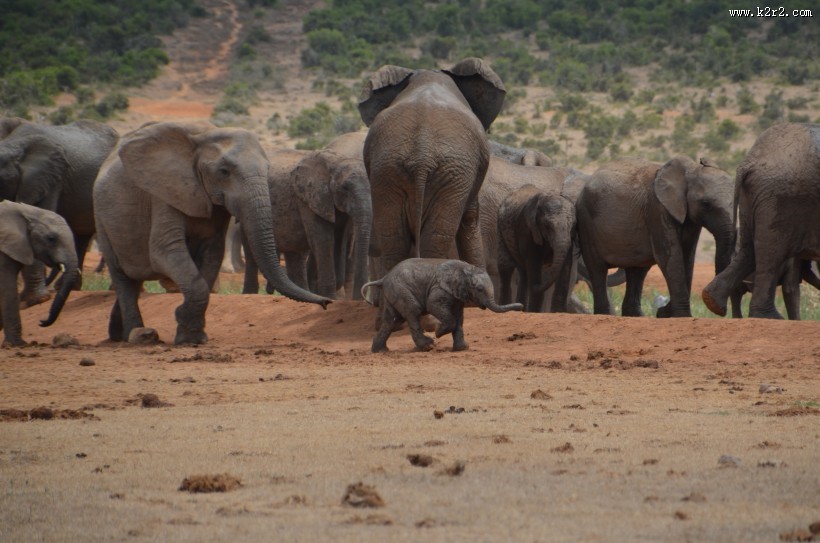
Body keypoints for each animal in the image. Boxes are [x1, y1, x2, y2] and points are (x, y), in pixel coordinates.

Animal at [93, 121, 330, 345]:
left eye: (267, 169)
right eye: (224, 171)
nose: (326, 303)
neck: (203, 136)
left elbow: (212, 252)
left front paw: (192, 336)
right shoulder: (165, 191)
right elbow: (164, 252)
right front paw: (187, 331)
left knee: (133, 281)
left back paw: (118, 334)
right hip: (101, 220)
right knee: (123, 278)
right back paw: (136, 334)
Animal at [358, 58, 506, 279]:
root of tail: (422, 154)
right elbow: (470, 217)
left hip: (388, 171)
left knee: (395, 240)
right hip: (451, 176)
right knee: (435, 240)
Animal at [362, 258, 523, 353]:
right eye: (479, 289)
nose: (521, 306)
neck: (465, 269)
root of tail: (384, 278)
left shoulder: (458, 296)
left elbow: (459, 318)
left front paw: (463, 348)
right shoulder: (440, 288)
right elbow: (433, 305)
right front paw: (438, 332)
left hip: (393, 293)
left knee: (392, 320)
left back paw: (381, 351)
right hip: (400, 289)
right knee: (413, 311)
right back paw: (428, 346)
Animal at [577, 156, 735, 317]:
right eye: (705, 204)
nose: (660, 310)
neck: (690, 170)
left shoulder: (690, 220)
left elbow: (688, 258)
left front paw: (666, 313)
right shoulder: (657, 209)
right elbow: (670, 258)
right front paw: (681, 316)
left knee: (637, 271)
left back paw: (636, 316)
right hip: (586, 221)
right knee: (597, 269)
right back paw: (605, 314)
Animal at [702, 123, 820, 319]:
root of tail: (750, 161)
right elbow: (791, 287)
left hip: (754, 196)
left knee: (750, 250)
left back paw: (713, 303)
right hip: (780, 198)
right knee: (770, 253)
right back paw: (769, 317)